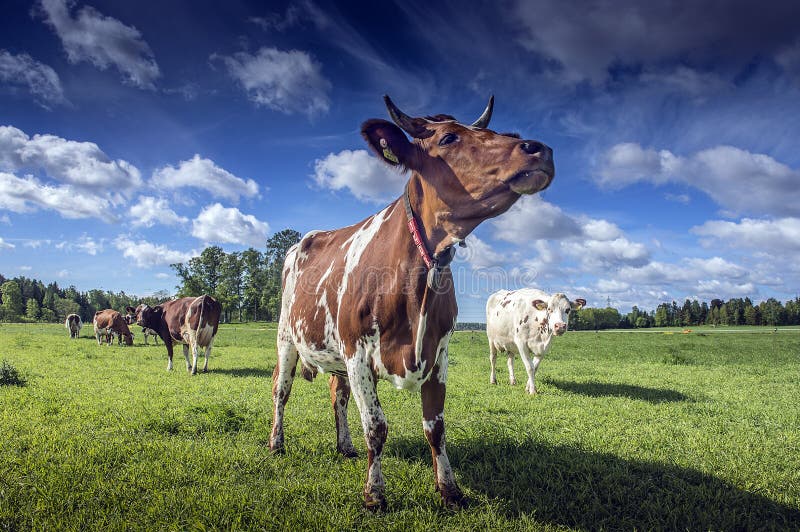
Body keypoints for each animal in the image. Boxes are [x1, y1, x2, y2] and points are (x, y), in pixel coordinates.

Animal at [271, 95, 555, 511]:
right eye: (449, 137)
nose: (540, 149)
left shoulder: (440, 351)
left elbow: (435, 427)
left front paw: (449, 489)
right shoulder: (357, 351)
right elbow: (376, 427)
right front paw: (374, 494)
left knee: (337, 396)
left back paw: (344, 446)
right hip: (287, 338)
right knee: (281, 388)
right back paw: (276, 443)